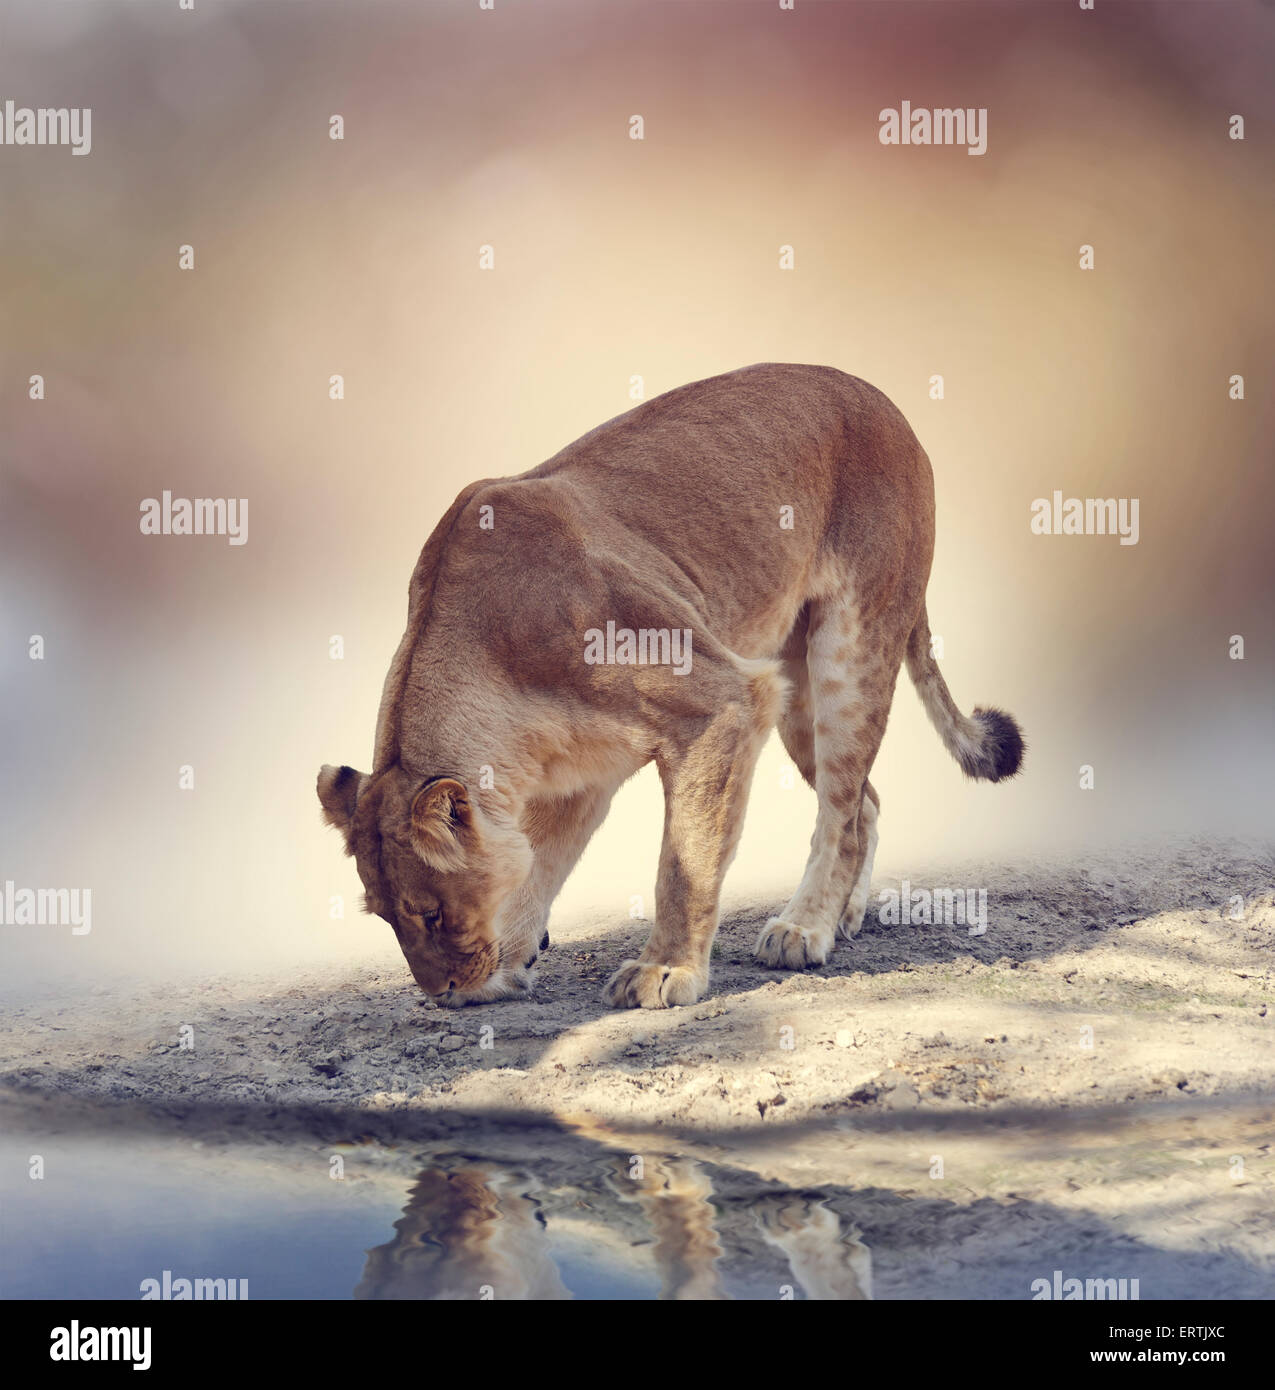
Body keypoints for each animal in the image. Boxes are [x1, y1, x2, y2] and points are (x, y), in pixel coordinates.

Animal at [318, 363, 1023, 1009]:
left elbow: (684, 860)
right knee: (864, 803)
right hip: (796, 689)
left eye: (431, 913)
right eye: (386, 917)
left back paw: (803, 929)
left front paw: (663, 970)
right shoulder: (579, 771)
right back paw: (843, 917)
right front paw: (512, 959)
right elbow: (540, 861)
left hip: (850, 653)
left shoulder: (723, 702)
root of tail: (883, 398)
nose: (443, 995)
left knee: (842, 814)